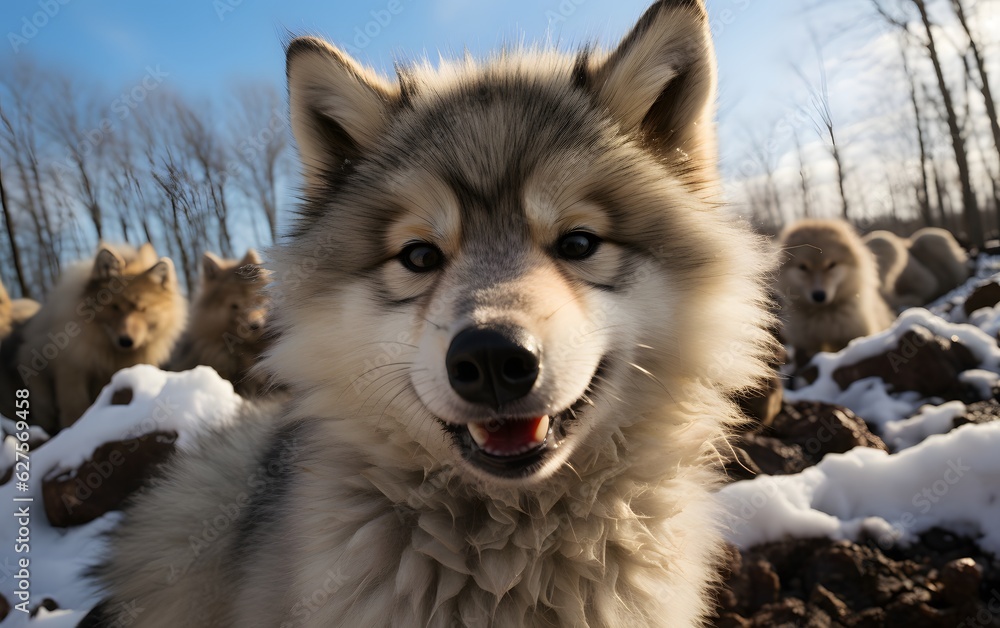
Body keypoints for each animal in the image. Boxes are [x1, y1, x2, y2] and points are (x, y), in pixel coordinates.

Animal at [15, 243, 187, 432]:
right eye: (115, 307)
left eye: (142, 309)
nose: (125, 341)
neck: (111, 357)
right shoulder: (73, 371)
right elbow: (75, 409)